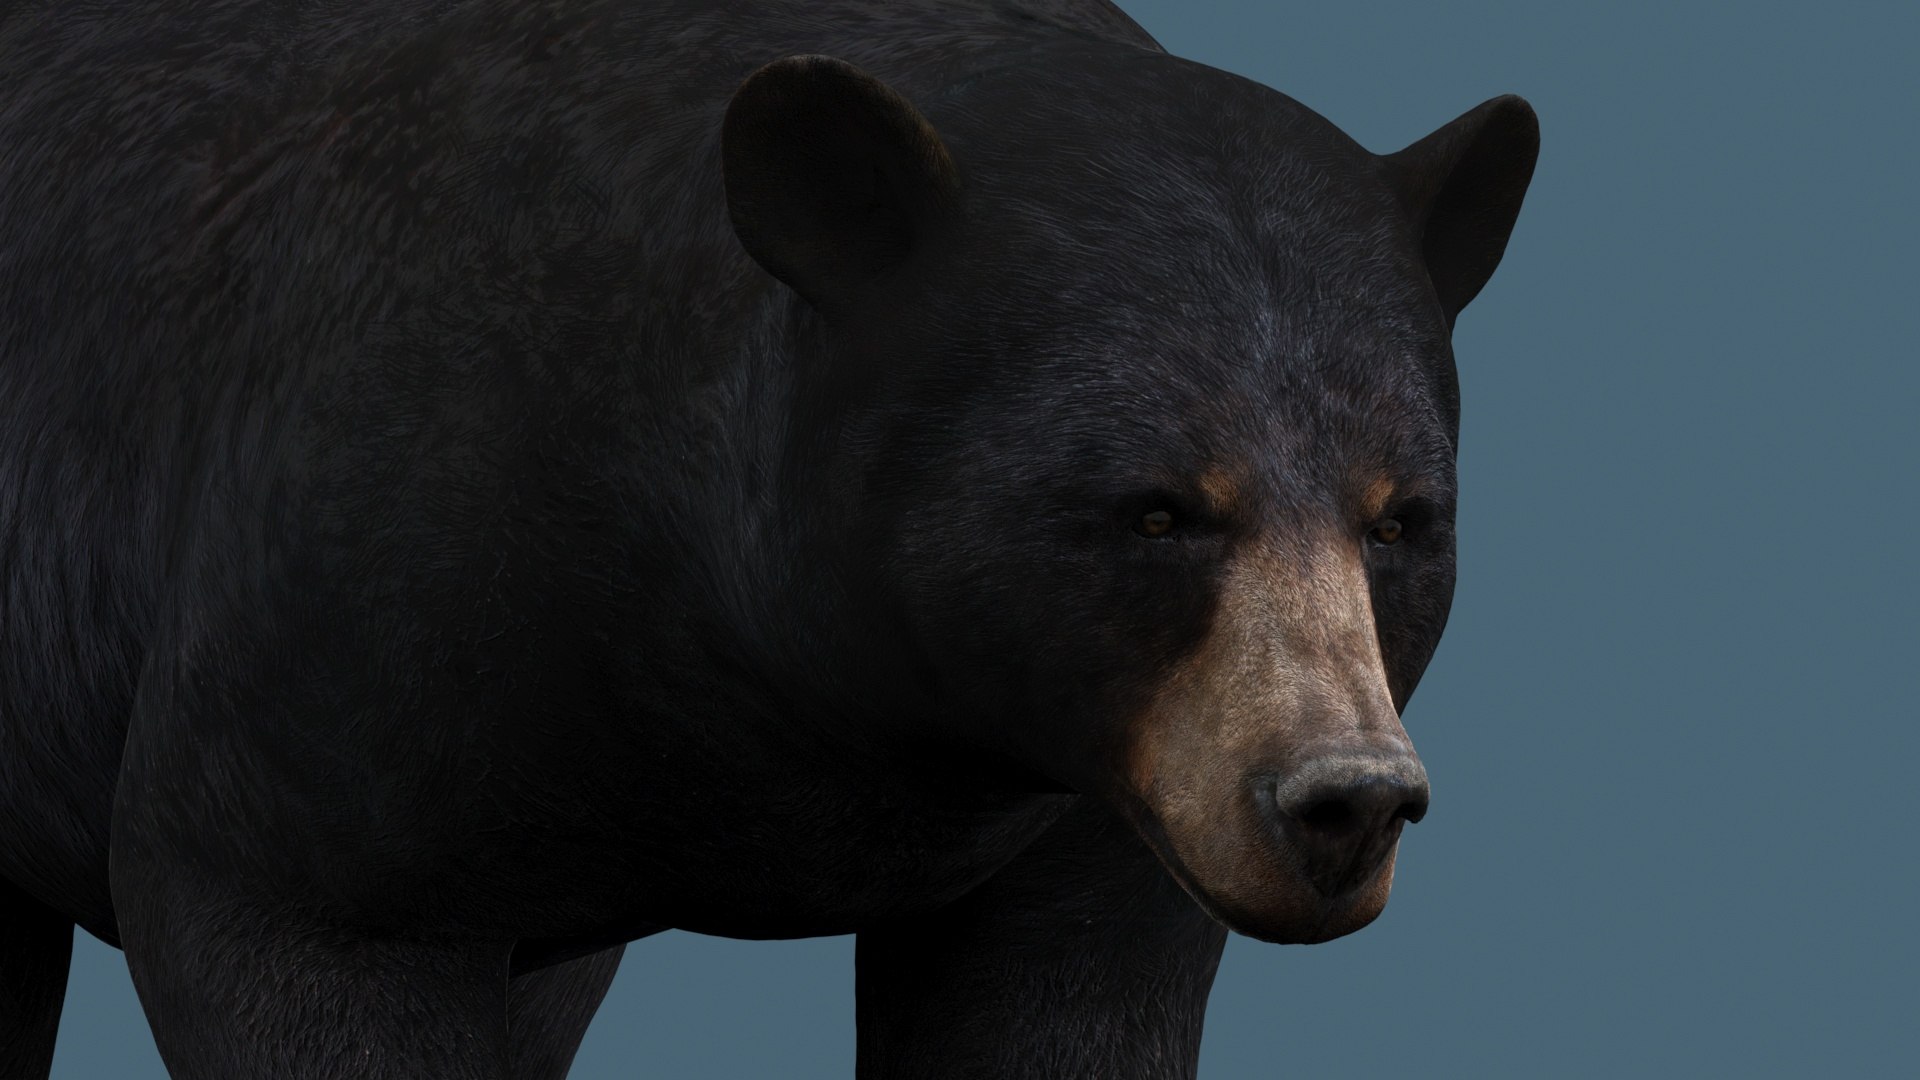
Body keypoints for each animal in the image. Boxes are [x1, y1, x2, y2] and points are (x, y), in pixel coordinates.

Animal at [0, 0, 1538, 1077]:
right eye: (1157, 509)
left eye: (1400, 520)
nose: (1345, 800)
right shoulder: (363, 570)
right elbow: (300, 904)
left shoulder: (1100, 794)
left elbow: (1063, 997)